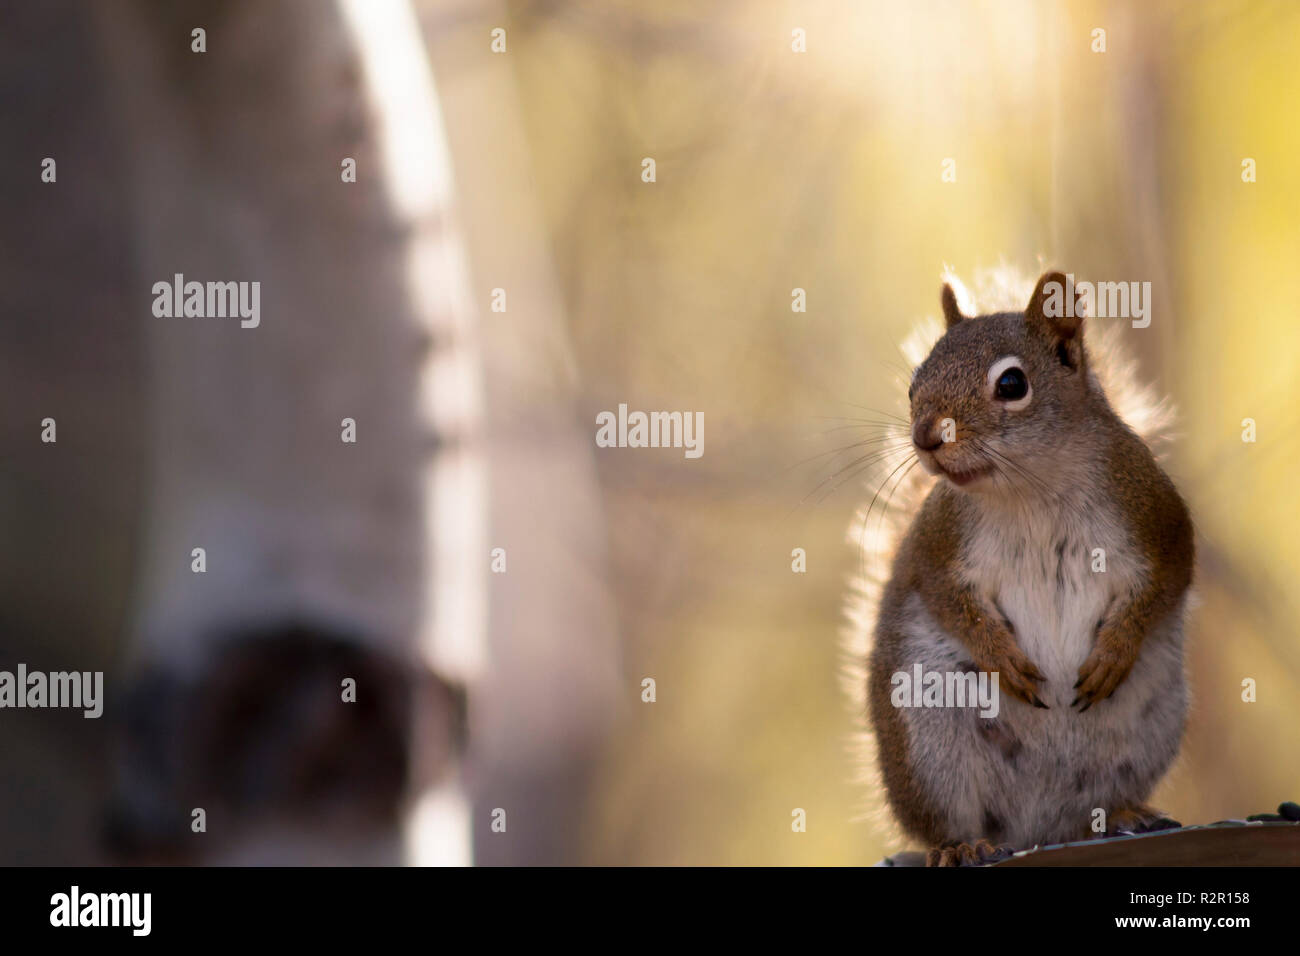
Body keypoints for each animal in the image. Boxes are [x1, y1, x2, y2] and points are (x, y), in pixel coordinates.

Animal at [848, 270, 1194, 866]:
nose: (925, 437)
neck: (1032, 488)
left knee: (1092, 806)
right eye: (915, 382)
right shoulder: (937, 544)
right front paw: (1001, 659)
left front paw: (1115, 650)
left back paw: (1117, 815)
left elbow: (1167, 582)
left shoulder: (1157, 518)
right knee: (949, 815)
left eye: (1012, 384)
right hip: (927, 739)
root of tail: (1036, 828)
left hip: (1151, 723)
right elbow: (943, 596)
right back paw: (962, 844)